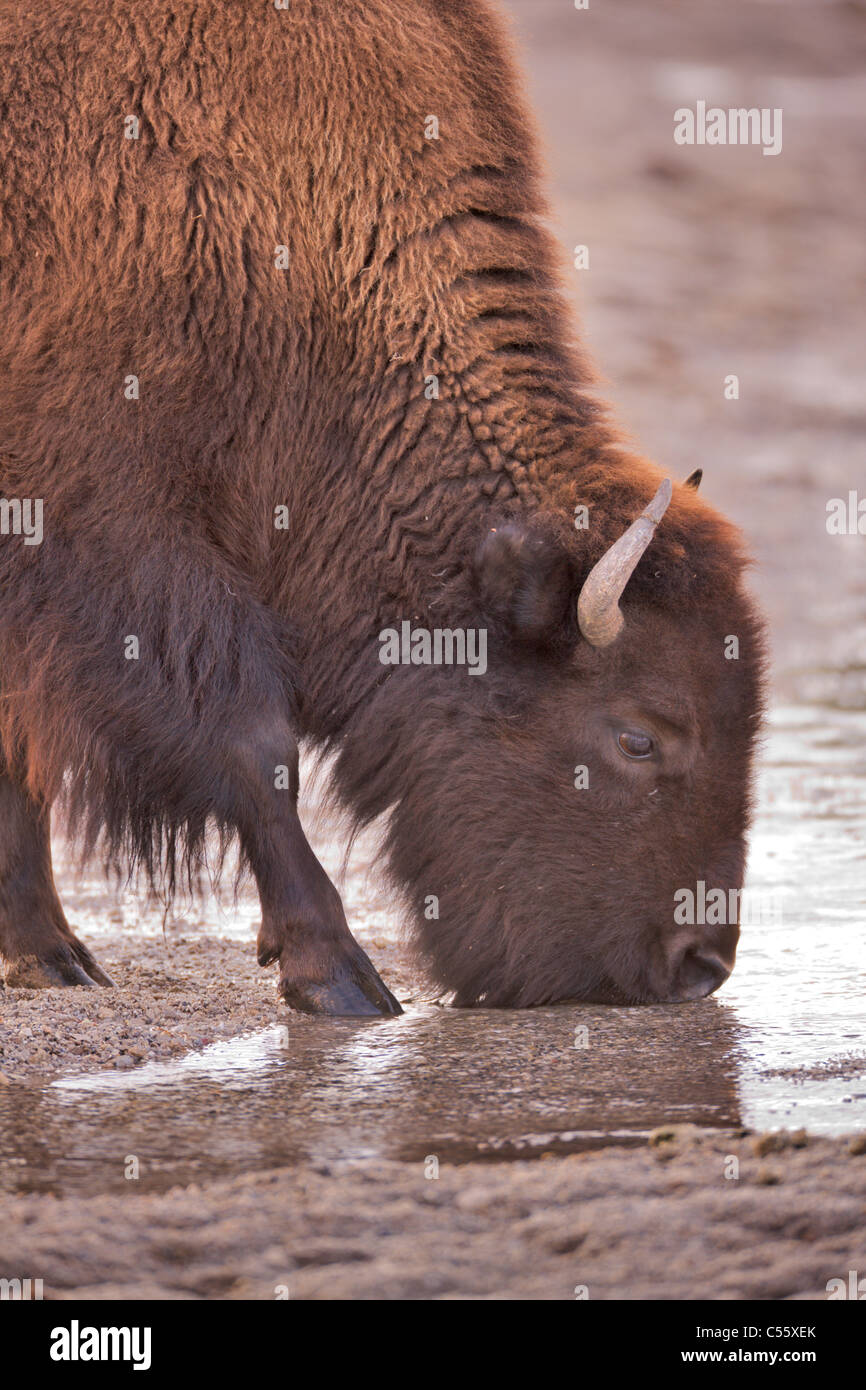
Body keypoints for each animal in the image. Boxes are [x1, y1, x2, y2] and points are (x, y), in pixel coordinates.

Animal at [0, 0, 765, 1014]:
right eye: (639, 737)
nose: (697, 966)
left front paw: (49, 951)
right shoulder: (109, 529)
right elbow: (254, 743)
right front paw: (342, 977)